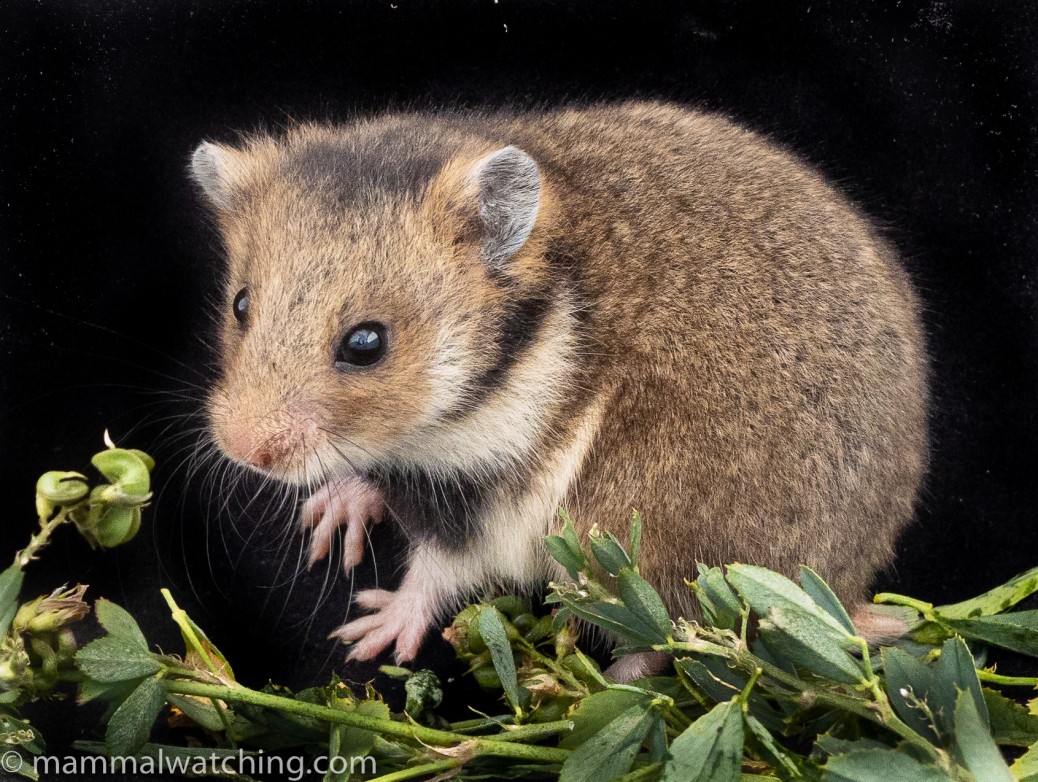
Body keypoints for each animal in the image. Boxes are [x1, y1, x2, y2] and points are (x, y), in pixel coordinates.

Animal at [190, 102, 928, 678]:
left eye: (367, 343)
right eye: (240, 305)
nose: (243, 451)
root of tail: (844, 596)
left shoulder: (493, 504)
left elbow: (436, 571)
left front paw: (370, 632)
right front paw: (333, 514)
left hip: (616, 529)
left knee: (673, 636)